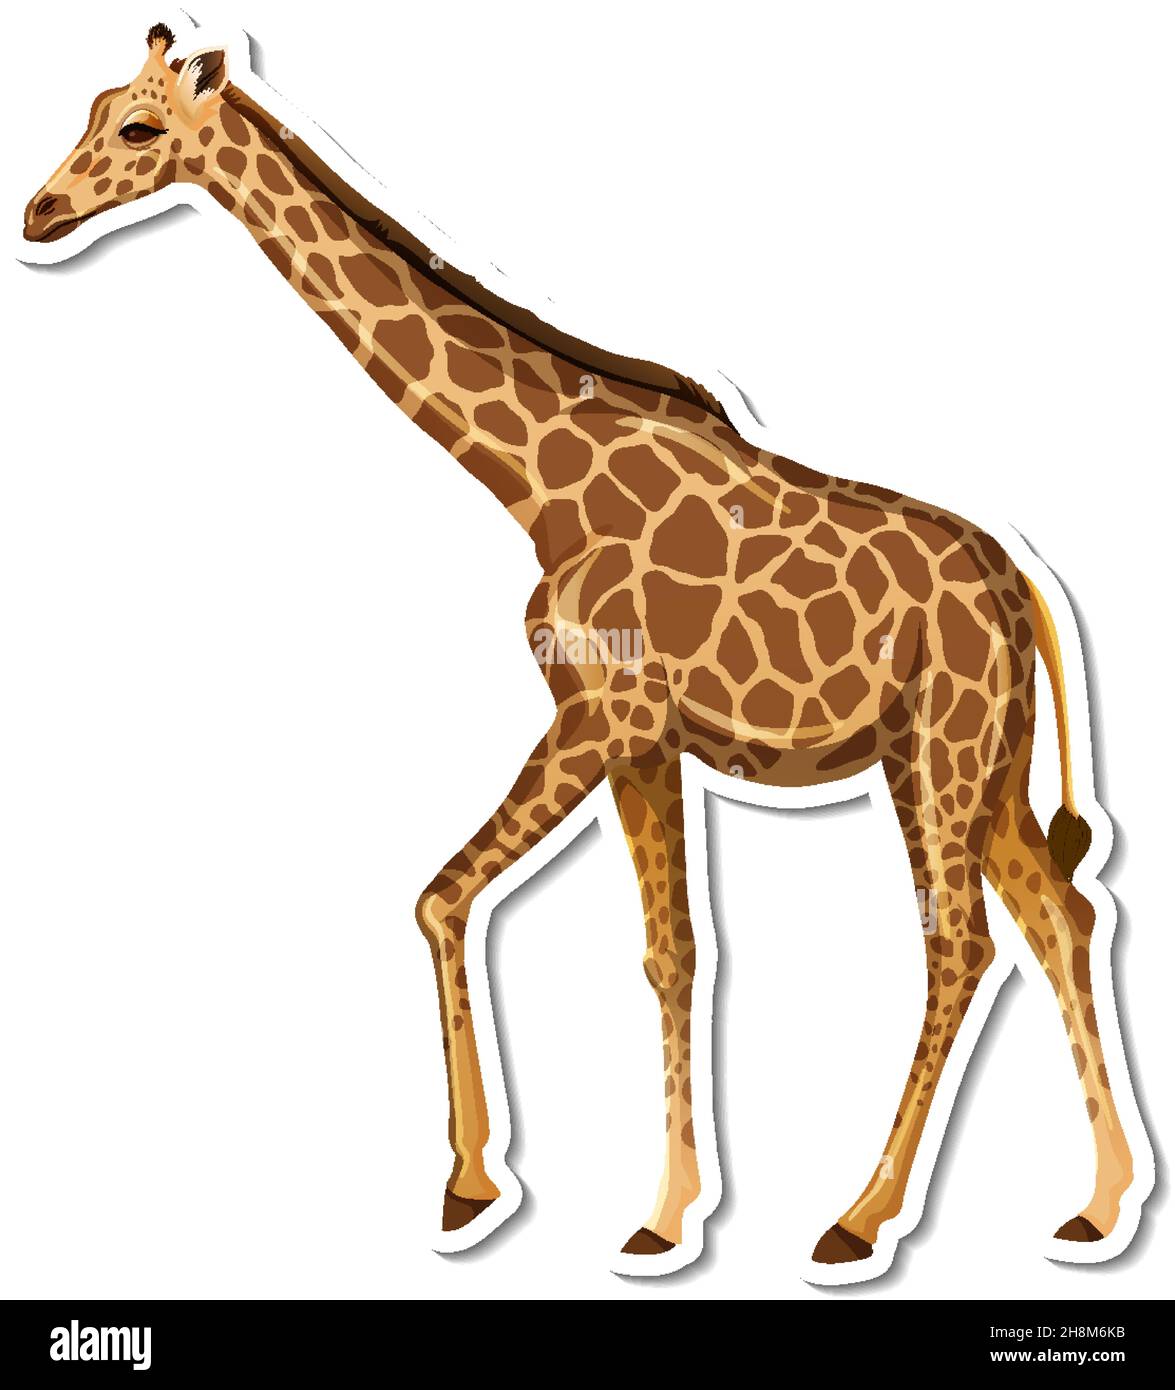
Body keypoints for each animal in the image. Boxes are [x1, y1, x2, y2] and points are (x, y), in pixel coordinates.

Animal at [22, 22, 1144, 1276]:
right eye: (91, 106)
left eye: (138, 128)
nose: (40, 212)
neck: (534, 479)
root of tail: (1020, 590)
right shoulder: (643, 738)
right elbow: (669, 952)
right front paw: (654, 1214)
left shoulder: (599, 712)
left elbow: (448, 897)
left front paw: (486, 1188)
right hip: (982, 762)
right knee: (1061, 916)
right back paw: (1098, 1204)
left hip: (939, 753)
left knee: (958, 944)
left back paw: (856, 1219)